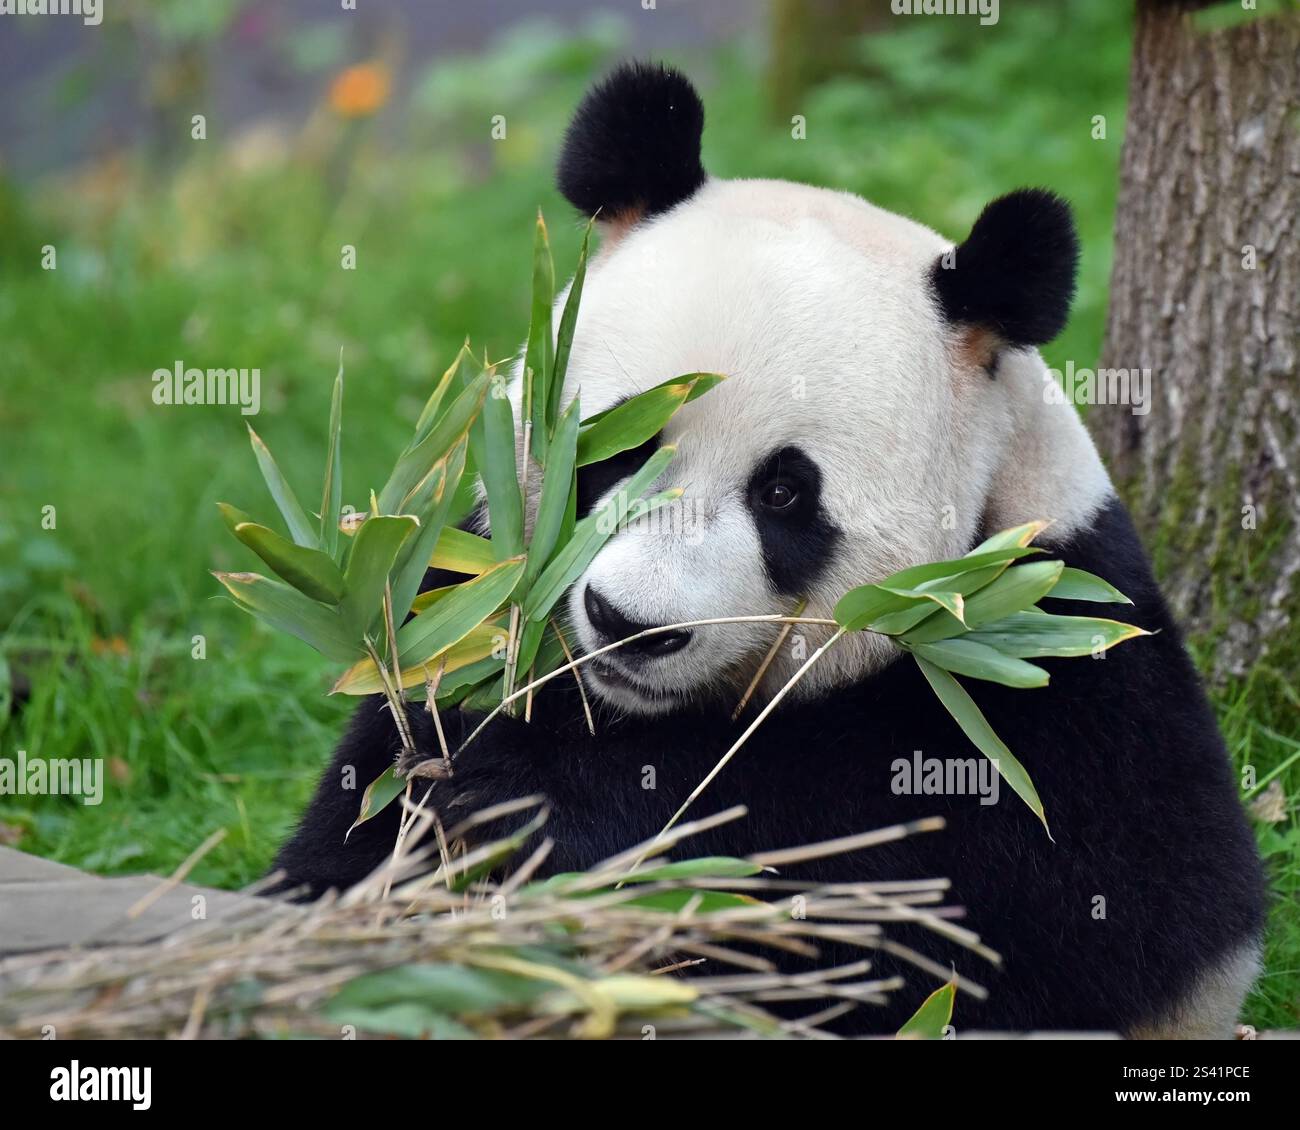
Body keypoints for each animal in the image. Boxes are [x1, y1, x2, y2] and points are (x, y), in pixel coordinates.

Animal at [271, 62, 1265, 1038]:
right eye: (620, 446)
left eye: (783, 494)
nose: (629, 626)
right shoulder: (459, 597)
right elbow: (358, 814)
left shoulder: (1067, 644)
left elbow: (1048, 893)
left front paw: (528, 792)